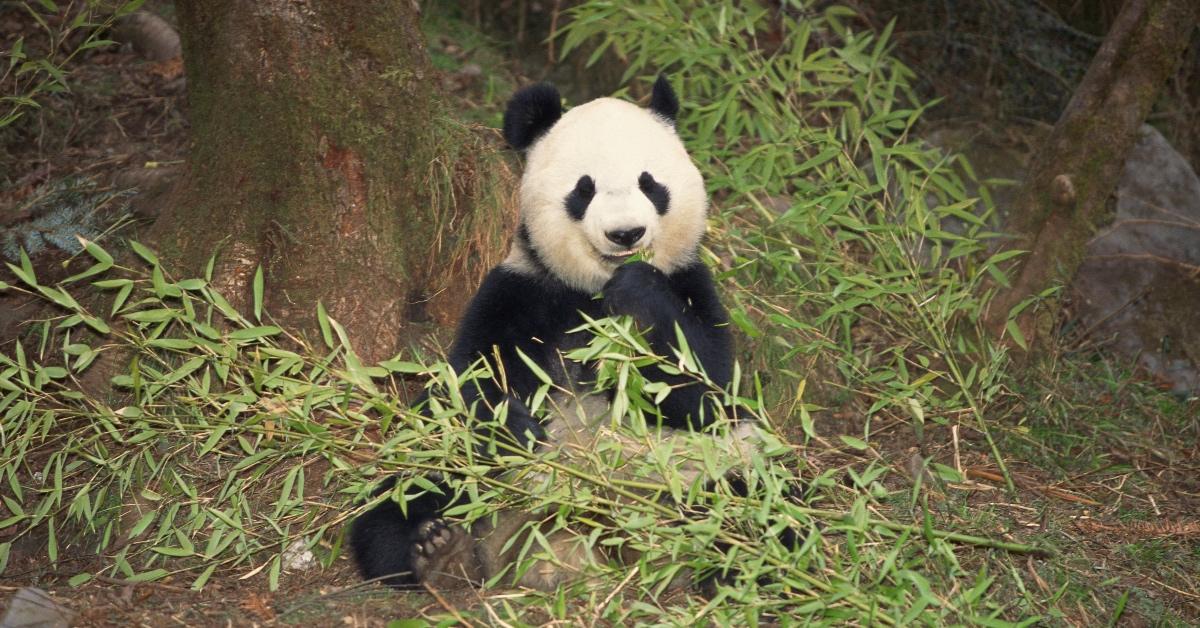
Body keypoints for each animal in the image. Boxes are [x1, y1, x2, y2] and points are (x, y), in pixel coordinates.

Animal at [349, 77, 782, 591]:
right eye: (584, 189)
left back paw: (734, 560)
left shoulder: (690, 281)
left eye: (650, 183)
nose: (625, 234)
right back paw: (439, 555)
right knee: (405, 492)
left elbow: (711, 390)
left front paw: (638, 292)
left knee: (758, 499)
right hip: (461, 475)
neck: (592, 290)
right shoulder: (524, 290)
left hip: (701, 467)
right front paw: (513, 424)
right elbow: (469, 380)